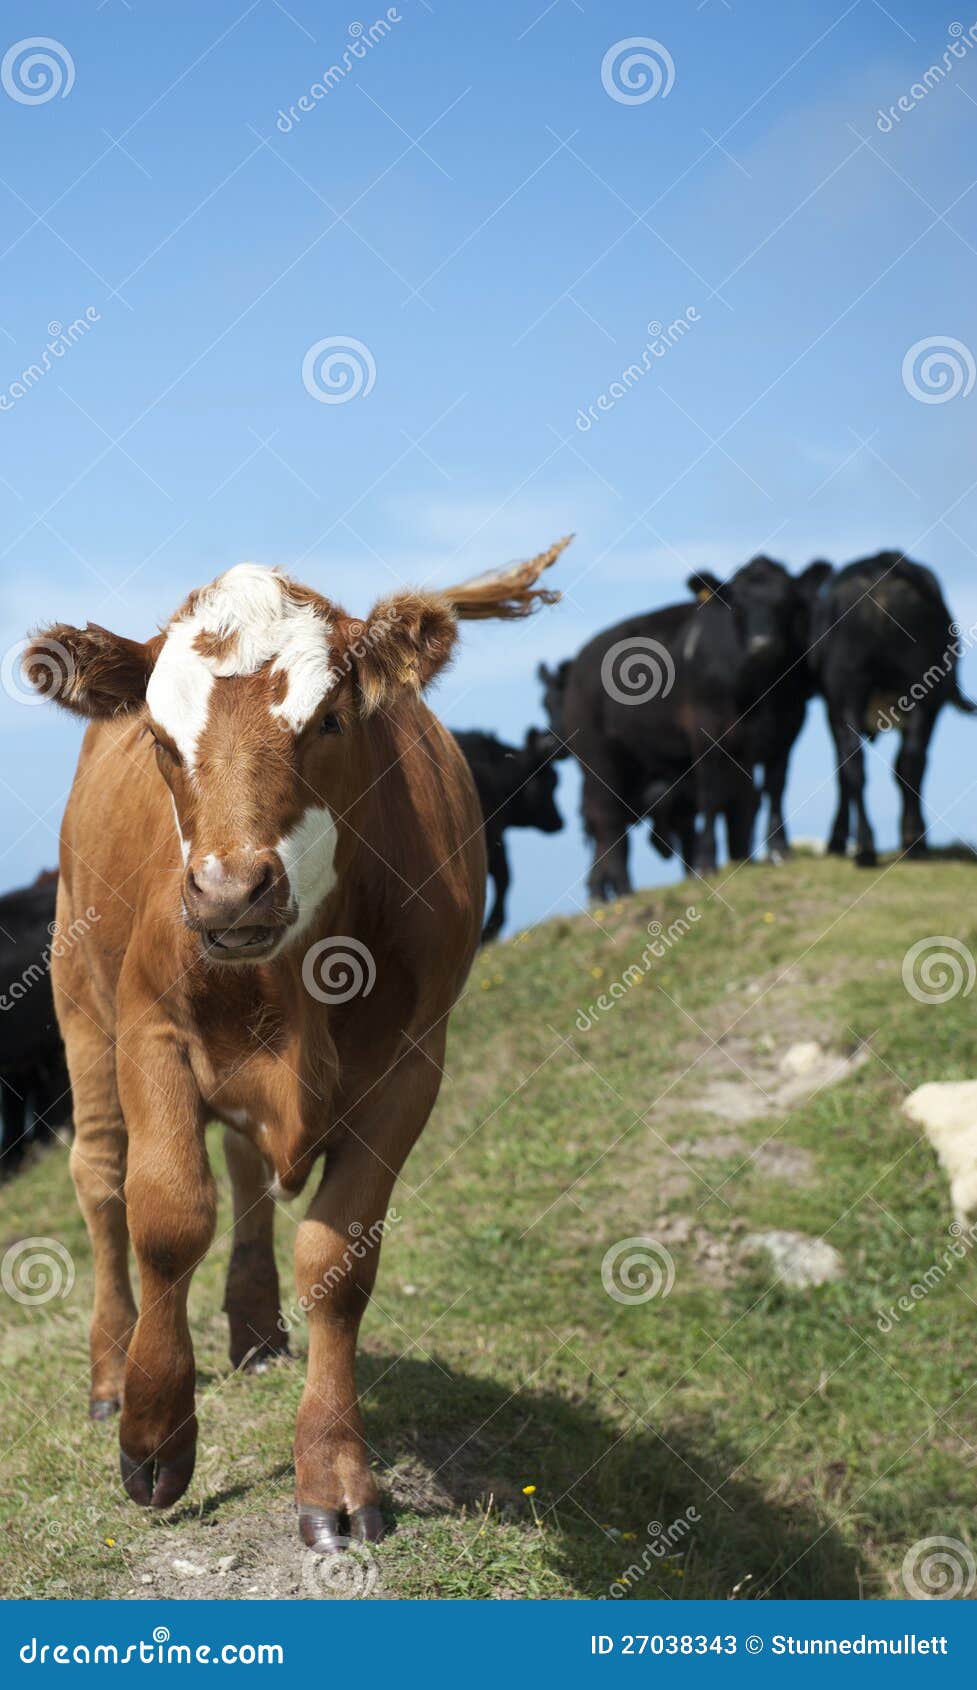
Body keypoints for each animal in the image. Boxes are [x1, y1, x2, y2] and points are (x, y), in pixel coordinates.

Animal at [808, 551, 975, 865]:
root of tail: (881, 569)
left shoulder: (833, 709)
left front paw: (837, 841)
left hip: (852, 689)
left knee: (857, 763)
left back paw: (868, 848)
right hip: (920, 693)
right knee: (909, 760)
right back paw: (910, 842)